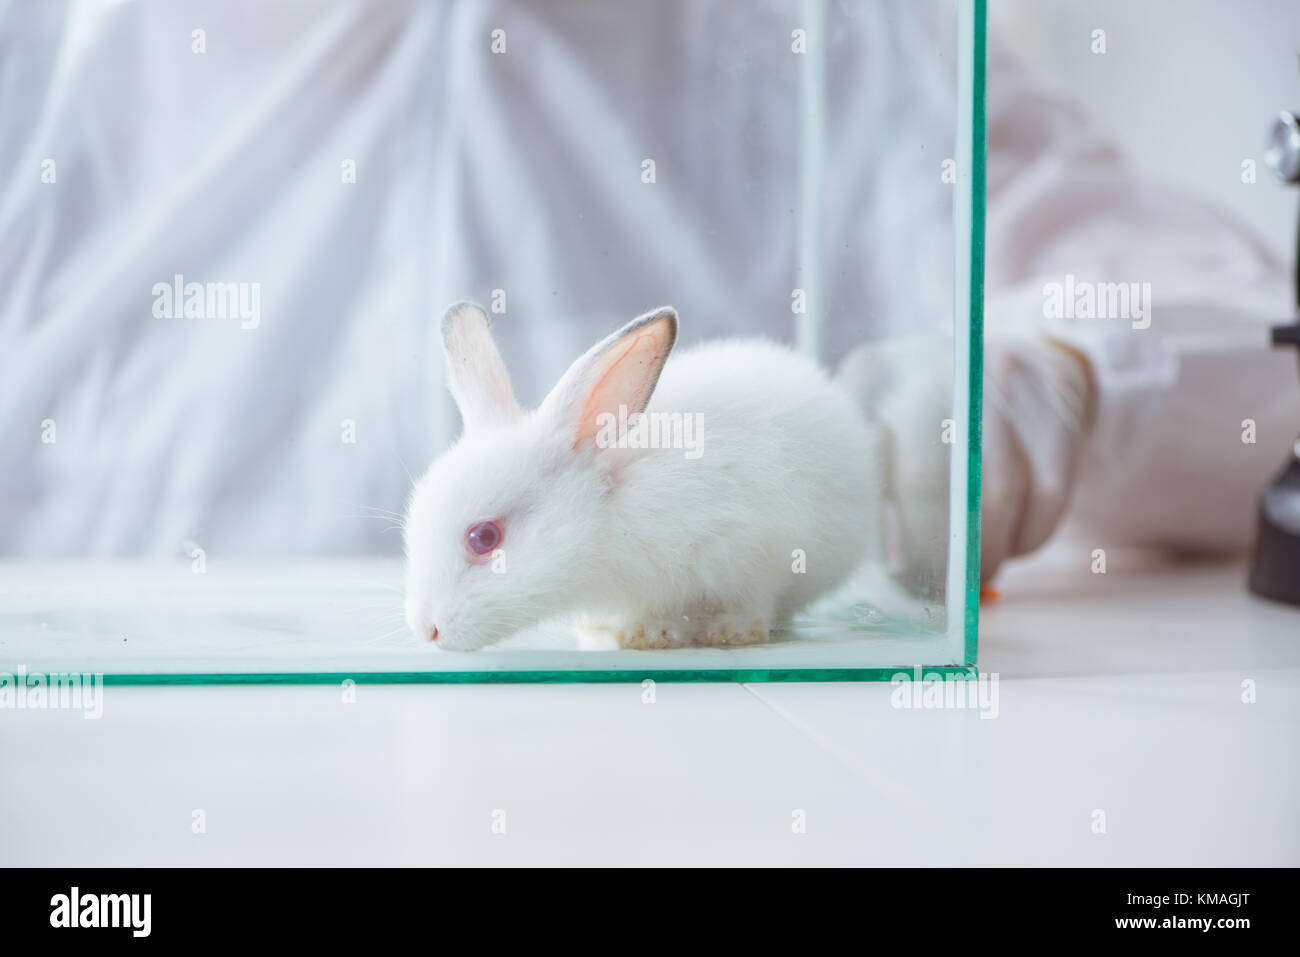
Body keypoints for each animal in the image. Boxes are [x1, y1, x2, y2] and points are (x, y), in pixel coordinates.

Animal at [403, 301, 878, 651]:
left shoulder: (756, 548)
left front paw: (714, 632)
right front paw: (634, 632)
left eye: (484, 537)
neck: (606, 514)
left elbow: (751, 598)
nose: (427, 631)